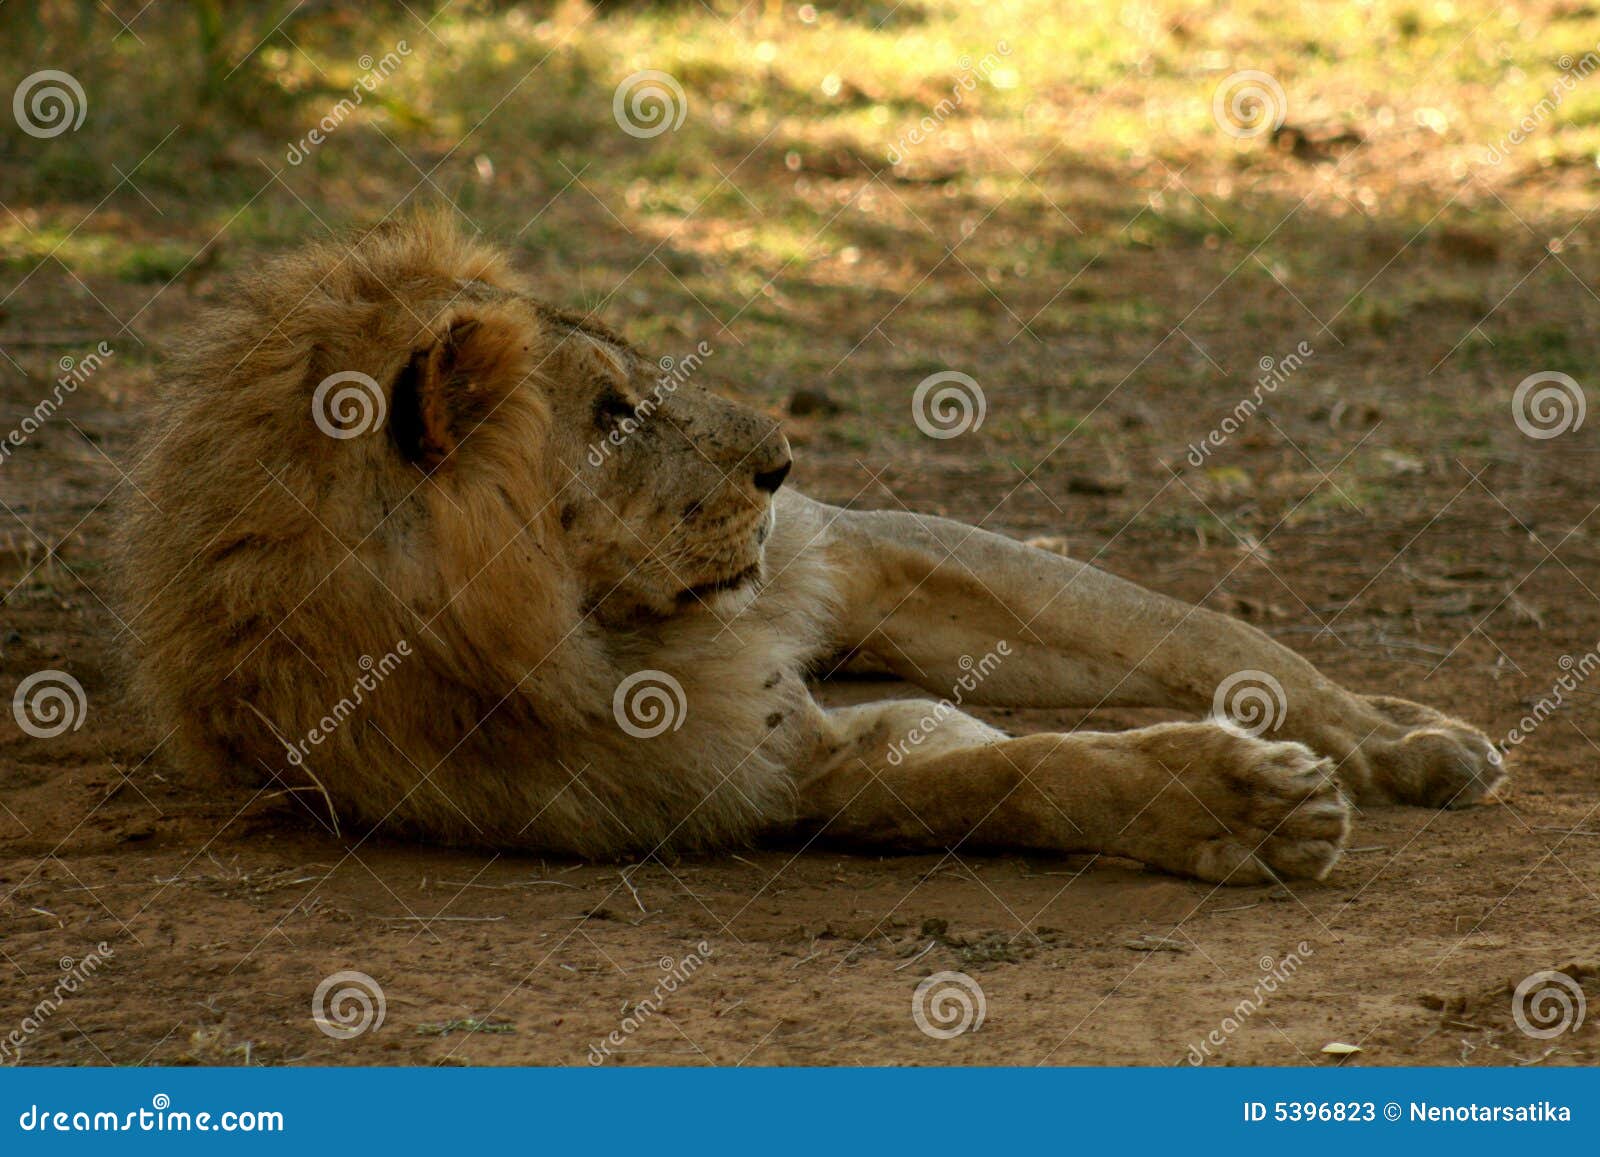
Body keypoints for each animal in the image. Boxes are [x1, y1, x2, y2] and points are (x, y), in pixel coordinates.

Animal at [117, 216, 1505, 884]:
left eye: (642, 380)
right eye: (611, 412)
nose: (782, 462)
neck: (594, 633)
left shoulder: (856, 558)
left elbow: (1201, 631)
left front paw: (1393, 744)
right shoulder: (767, 765)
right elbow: (1016, 773)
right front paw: (1242, 807)